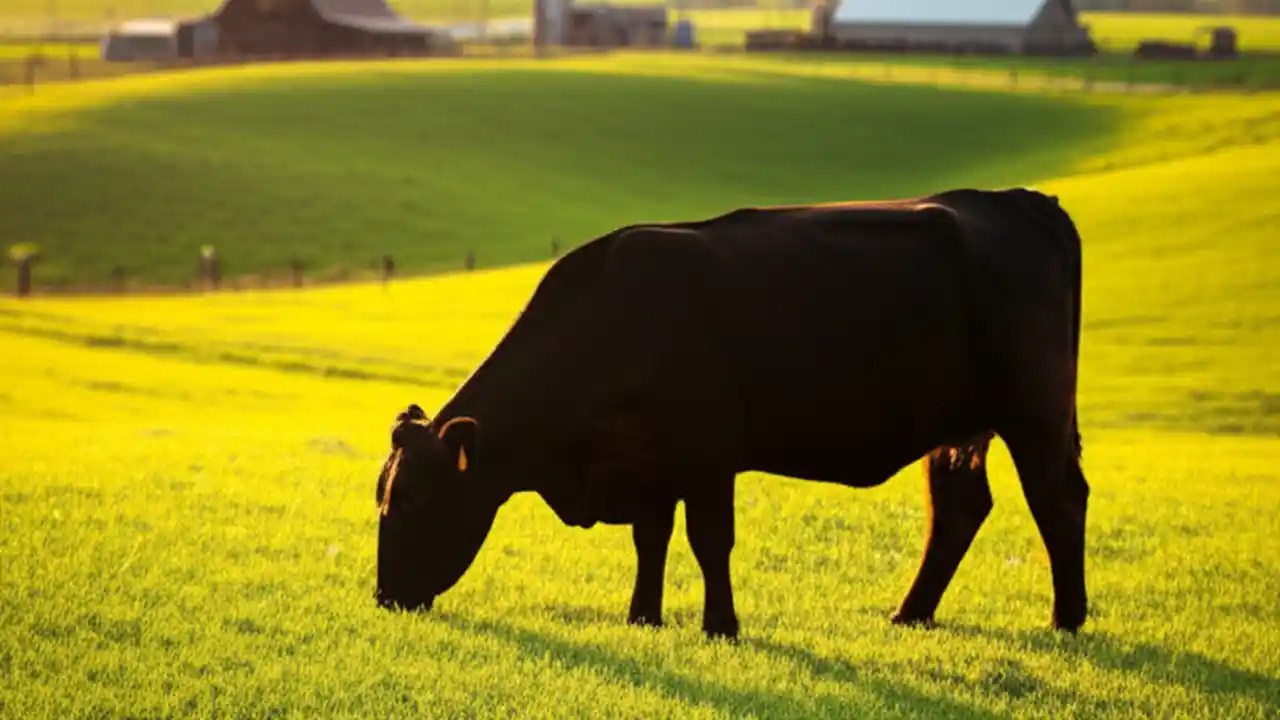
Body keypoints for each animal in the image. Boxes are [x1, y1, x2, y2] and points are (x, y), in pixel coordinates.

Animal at [373, 187, 1090, 640]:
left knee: (1057, 499)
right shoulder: (649, 466)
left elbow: (708, 540)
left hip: (1035, 414)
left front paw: (721, 625)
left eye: (410, 499)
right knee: (958, 506)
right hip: (957, 426)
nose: (385, 597)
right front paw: (643, 616)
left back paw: (1067, 616)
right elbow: (651, 538)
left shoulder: (707, 457)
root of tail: (1024, 201)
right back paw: (910, 613)